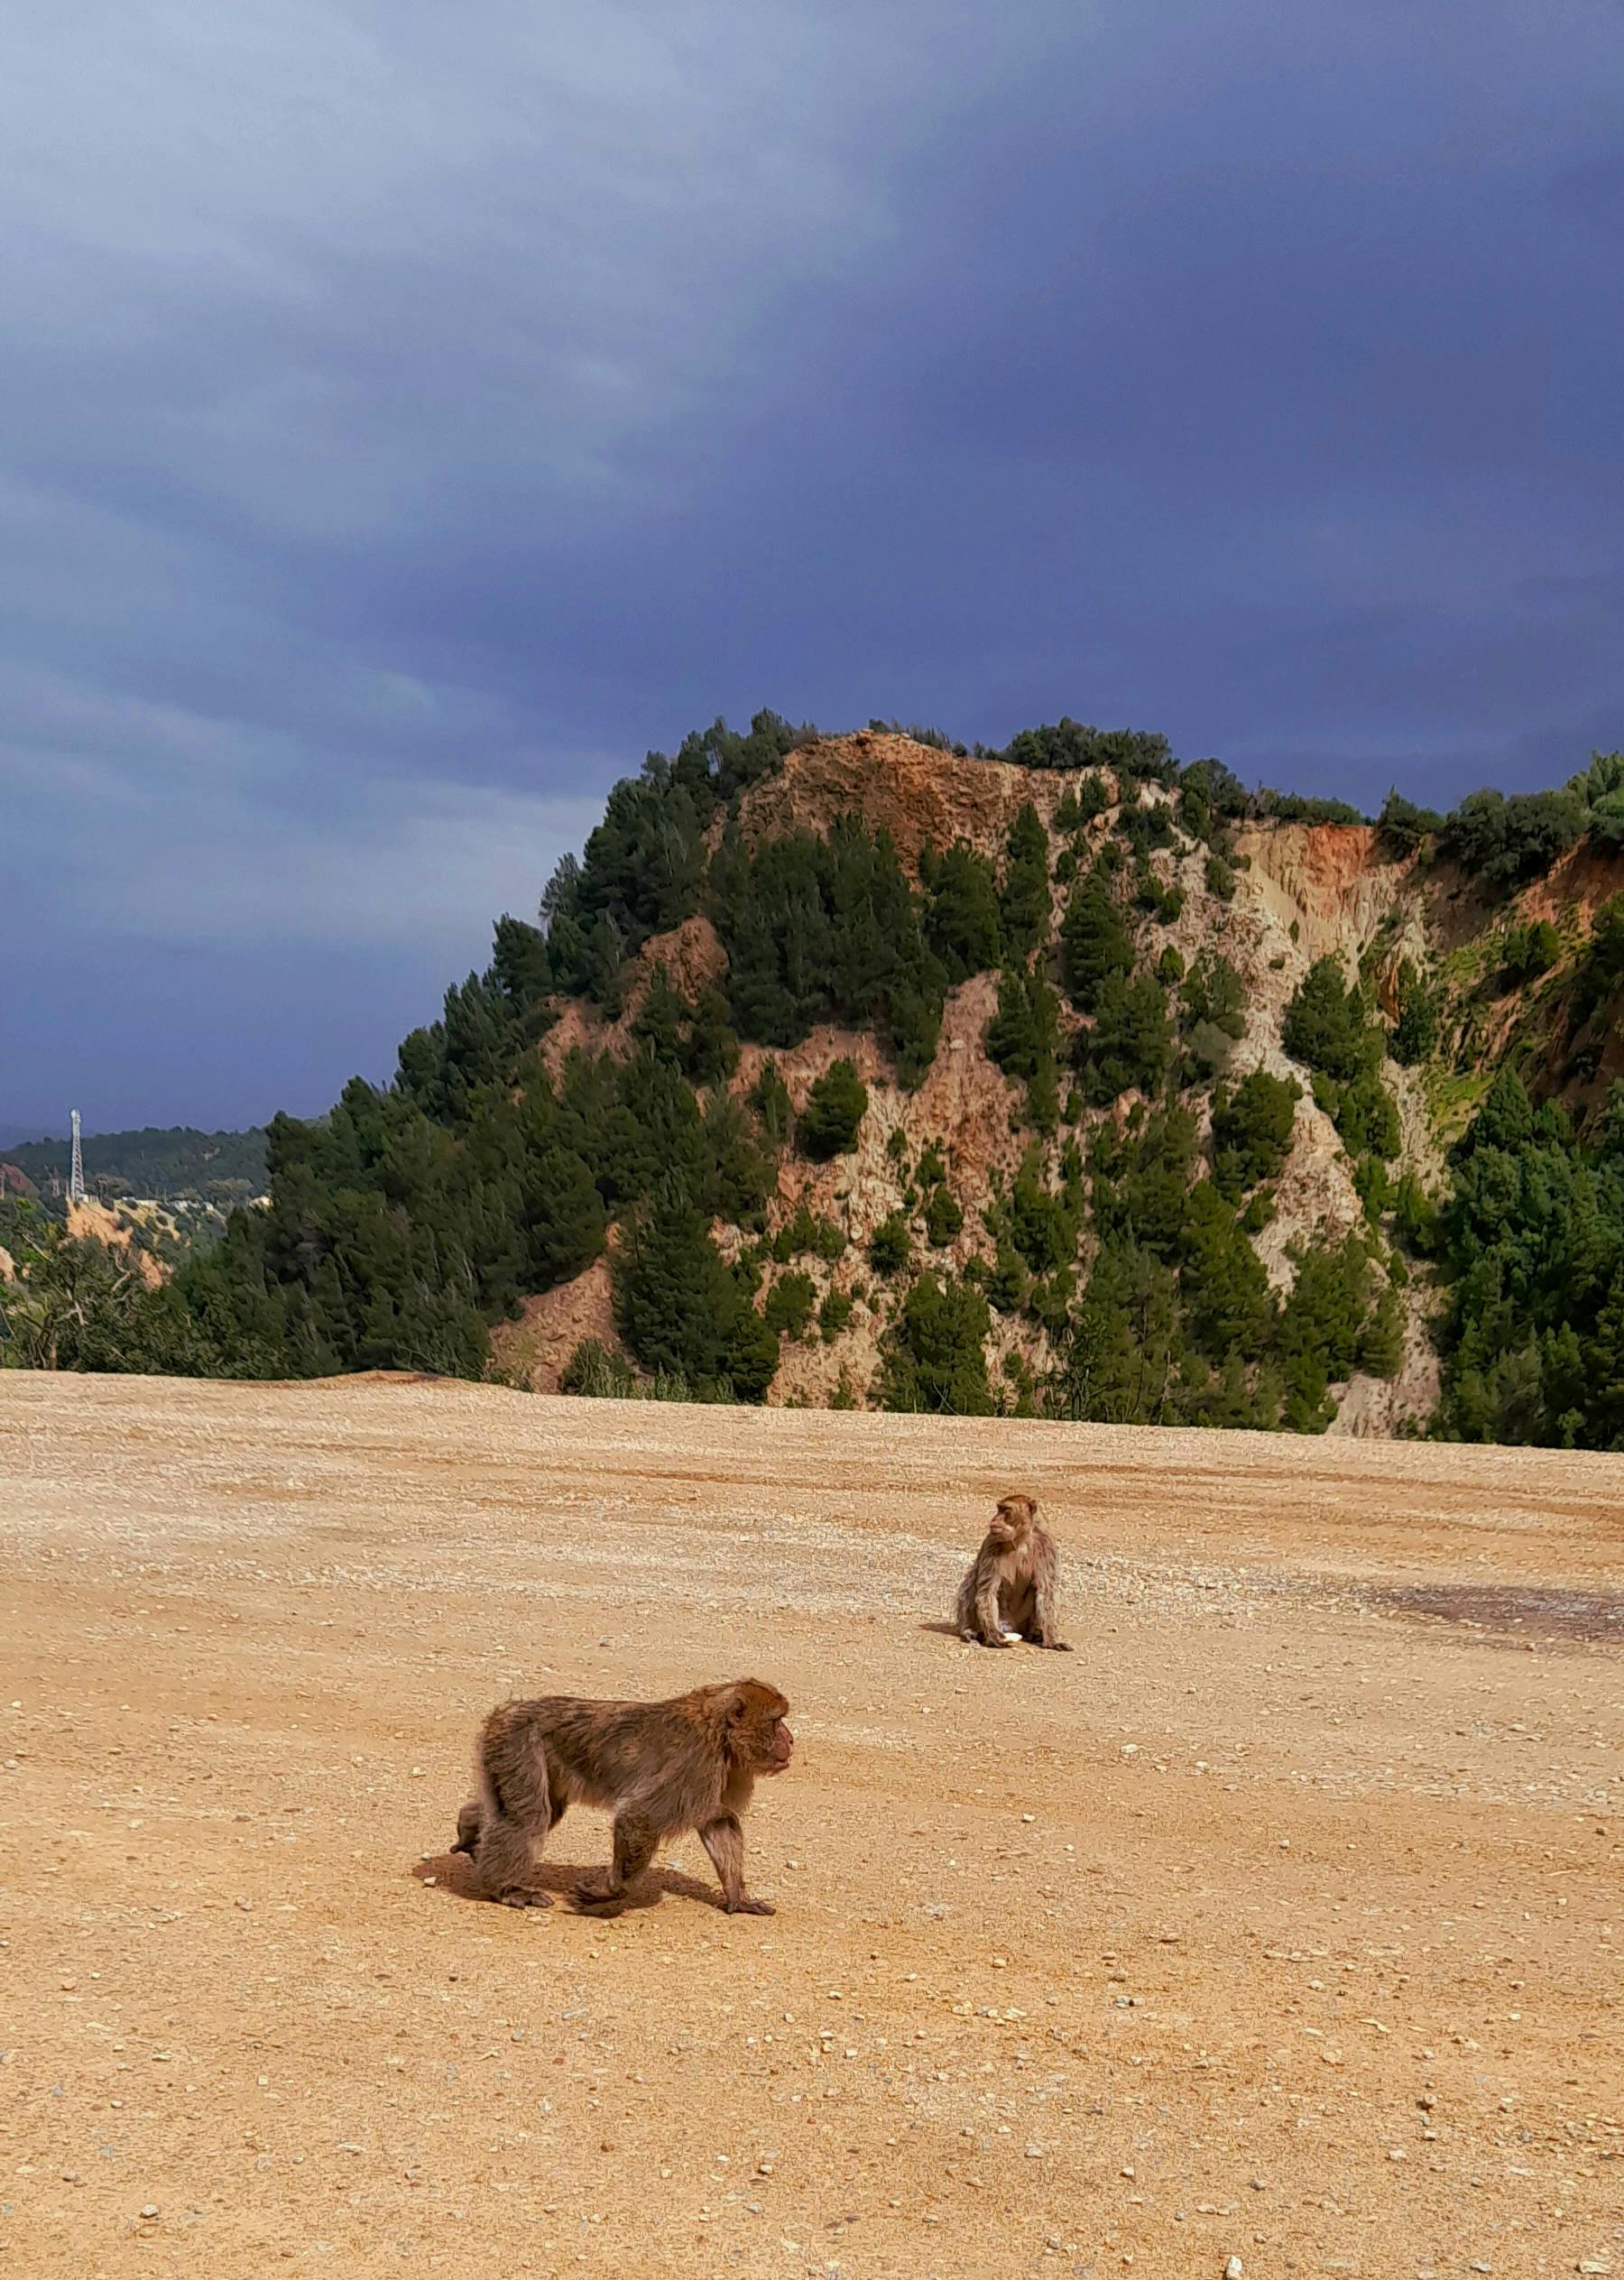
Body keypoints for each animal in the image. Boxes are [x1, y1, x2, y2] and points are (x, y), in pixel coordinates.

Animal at [451, 1679, 794, 1917]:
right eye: (776, 1721)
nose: (791, 1739)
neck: (721, 1733)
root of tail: (506, 1710)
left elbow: (718, 1823)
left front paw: (738, 1896)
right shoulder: (696, 1766)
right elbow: (639, 1817)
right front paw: (611, 1890)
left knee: (529, 1811)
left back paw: (470, 1829)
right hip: (517, 1743)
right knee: (528, 1818)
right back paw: (502, 1887)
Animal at [954, 1492, 1071, 1650]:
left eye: (1005, 1510)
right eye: (998, 1509)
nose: (994, 1519)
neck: (1020, 1539)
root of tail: (1010, 1625)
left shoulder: (1045, 1546)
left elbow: (1046, 1592)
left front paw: (1052, 1641)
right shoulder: (992, 1542)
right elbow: (987, 1592)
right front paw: (993, 1636)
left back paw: (1036, 1633)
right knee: (971, 1584)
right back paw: (972, 1631)